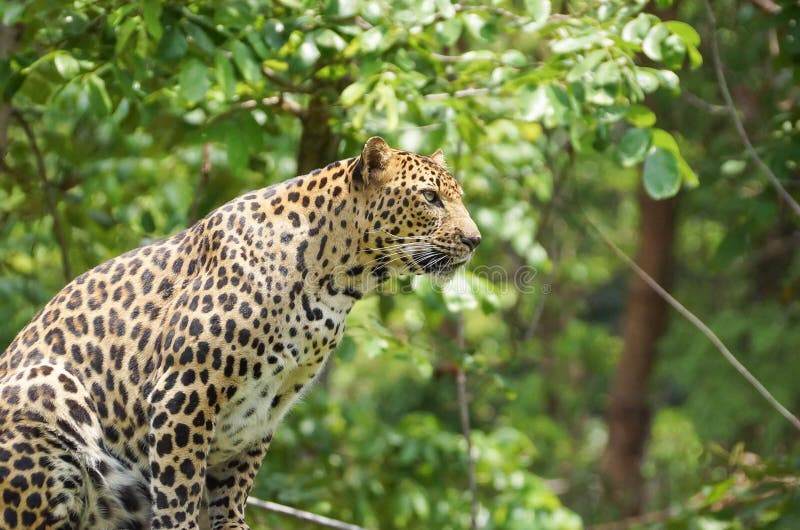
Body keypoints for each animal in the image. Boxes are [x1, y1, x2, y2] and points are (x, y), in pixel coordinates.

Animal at [0, 137, 481, 529]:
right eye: (431, 198)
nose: (475, 240)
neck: (339, 281)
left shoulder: (262, 410)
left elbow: (233, 486)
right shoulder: (184, 389)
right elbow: (179, 486)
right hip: (50, 390)